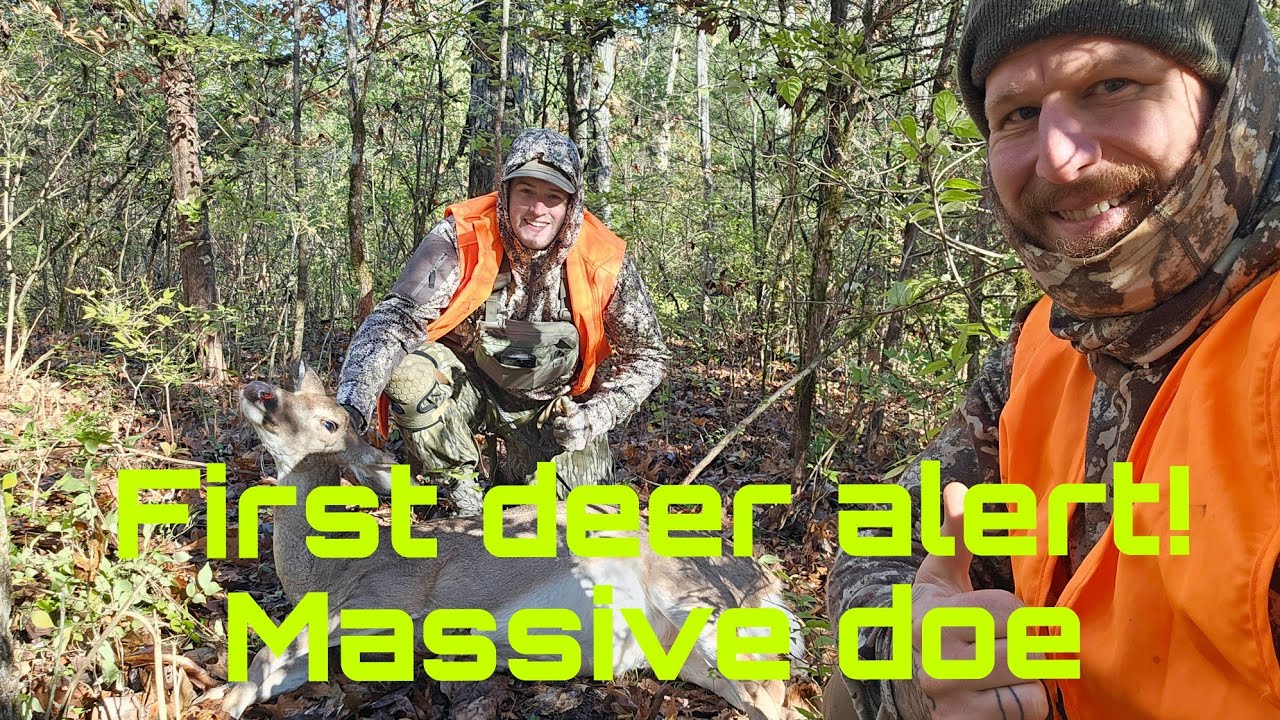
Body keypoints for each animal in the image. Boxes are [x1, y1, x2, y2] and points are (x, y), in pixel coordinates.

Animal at [210, 362, 806, 720]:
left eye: (331, 423)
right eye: (291, 389)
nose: (258, 390)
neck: (329, 570)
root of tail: (771, 584)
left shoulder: (386, 599)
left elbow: (265, 654)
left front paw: (217, 700)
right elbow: (272, 671)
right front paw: (222, 695)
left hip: (696, 599)